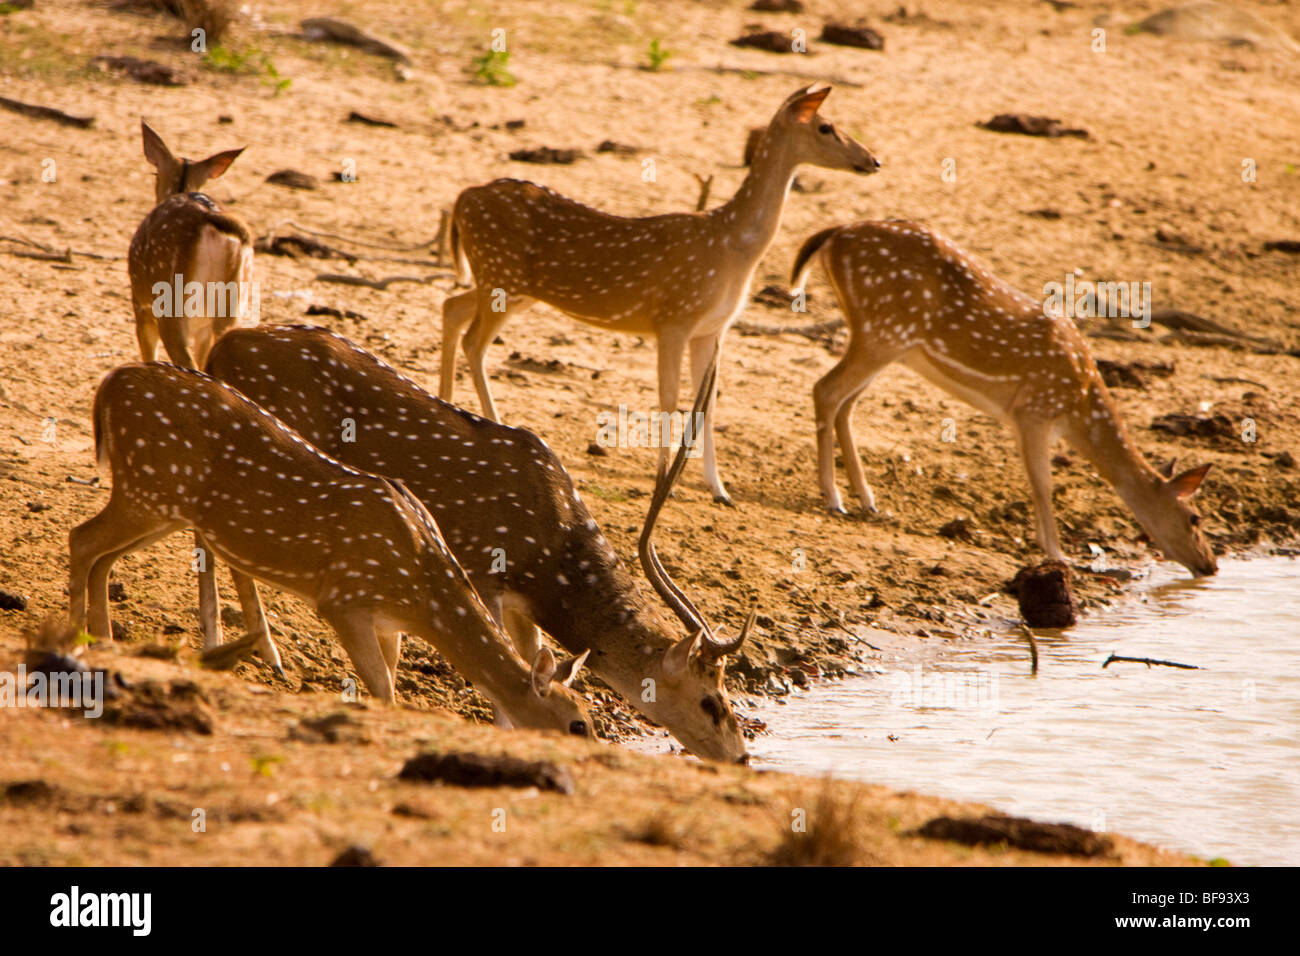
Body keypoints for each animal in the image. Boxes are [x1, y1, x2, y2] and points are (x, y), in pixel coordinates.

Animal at [68, 363, 594, 736]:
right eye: (578, 725)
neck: (421, 592)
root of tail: (110, 384)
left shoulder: (387, 621)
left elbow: (389, 677)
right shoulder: (344, 599)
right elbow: (383, 688)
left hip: (162, 504)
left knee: (101, 556)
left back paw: (106, 642)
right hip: (148, 489)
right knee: (81, 539)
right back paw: (76, 639)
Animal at [205, 324, 754, 762]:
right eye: (711, 700)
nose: (742, 756)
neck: (551, 561)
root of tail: (220, 348)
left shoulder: (519, 601)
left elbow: (533, 658)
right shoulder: (484, 567)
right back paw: (252, 650)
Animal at [440, 83, 879, 506]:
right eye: (826, 126)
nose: (873, 160)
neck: (732, 247)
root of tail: (462, 198)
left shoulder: (711, 330)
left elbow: (707, 406)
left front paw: (720, 490)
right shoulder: (674, 318)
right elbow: (669, 399)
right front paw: (664, 483)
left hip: (509, 286)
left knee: (451, 307)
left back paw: (446, 406)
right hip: (501, 277)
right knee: (474, 340)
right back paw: (495, 422)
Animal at [791, 220, 1218, 577]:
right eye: (1195, 518)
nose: (1211, 565)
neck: (1080, 408)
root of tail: (834, 235)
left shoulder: (1023, 417)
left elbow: (1035, 480)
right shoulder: (1034, 409)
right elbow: (1042, 482)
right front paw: (1058, 555)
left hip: (886, 340)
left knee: (846, 403)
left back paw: (867, 499)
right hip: (883, 330)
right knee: (825, 390)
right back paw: (833, 498)